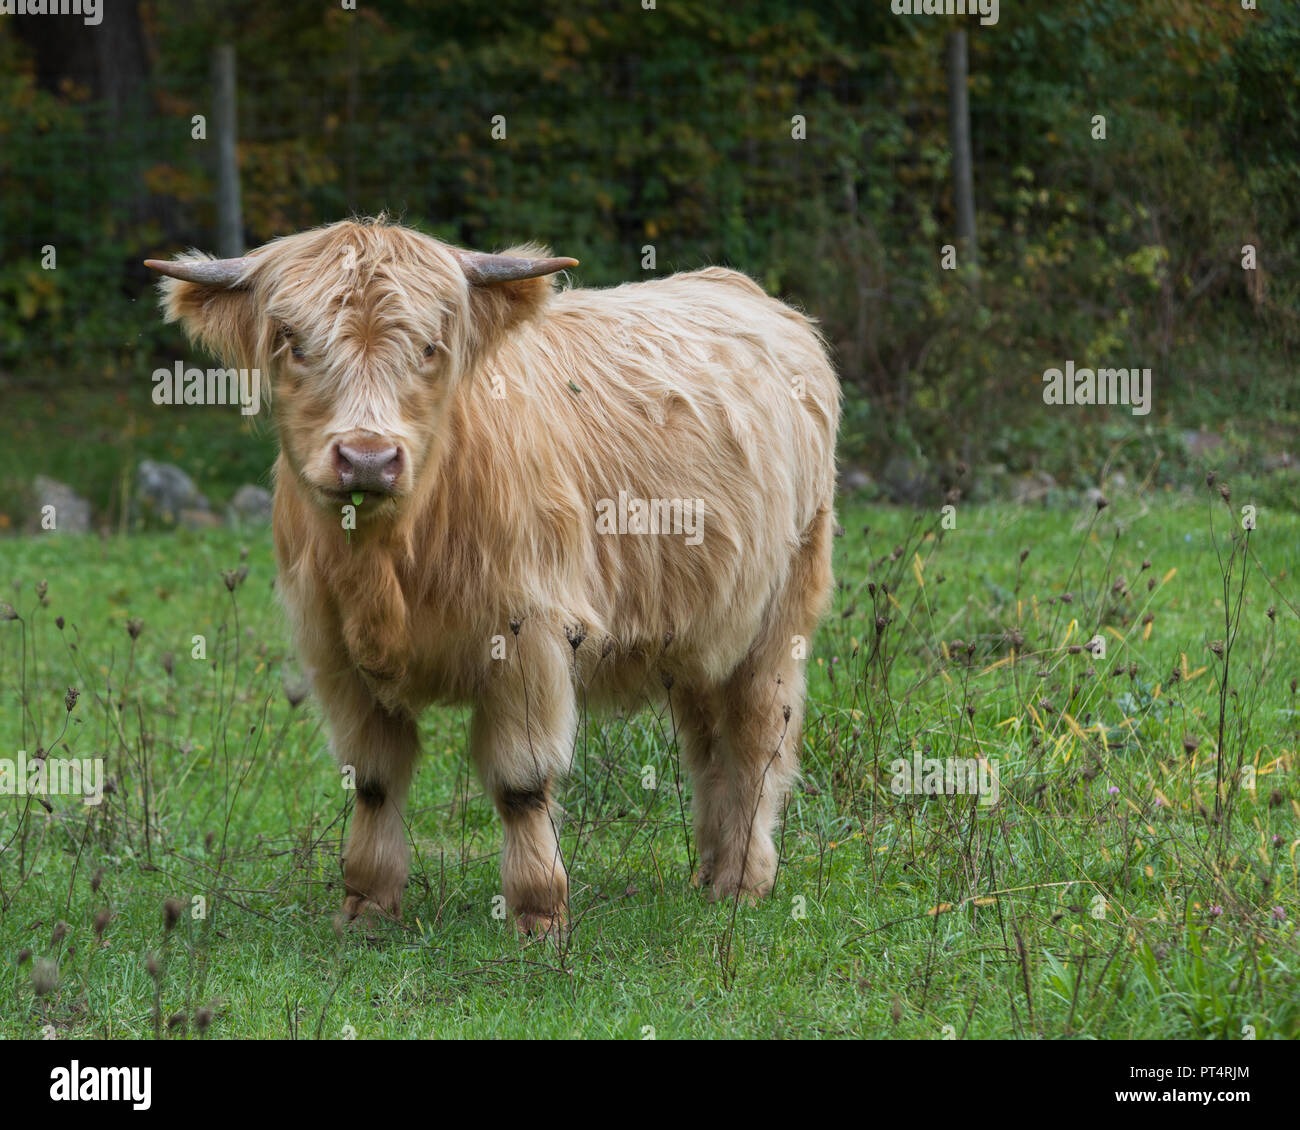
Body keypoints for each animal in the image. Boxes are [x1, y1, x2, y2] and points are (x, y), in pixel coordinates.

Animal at [147, 217, 840, 937]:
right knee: (707, 745)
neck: (388, 566)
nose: (367, 458)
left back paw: (743, 881)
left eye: (431, 346)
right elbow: (373, 779)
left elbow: (521, 784)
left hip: (781, 613)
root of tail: (742, 290)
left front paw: (539, 911)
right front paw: (366, 904)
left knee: (758, 738)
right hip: (703, 629)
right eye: (293, 342)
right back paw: (709, 872)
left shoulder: (529, 638)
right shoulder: (332, 650)